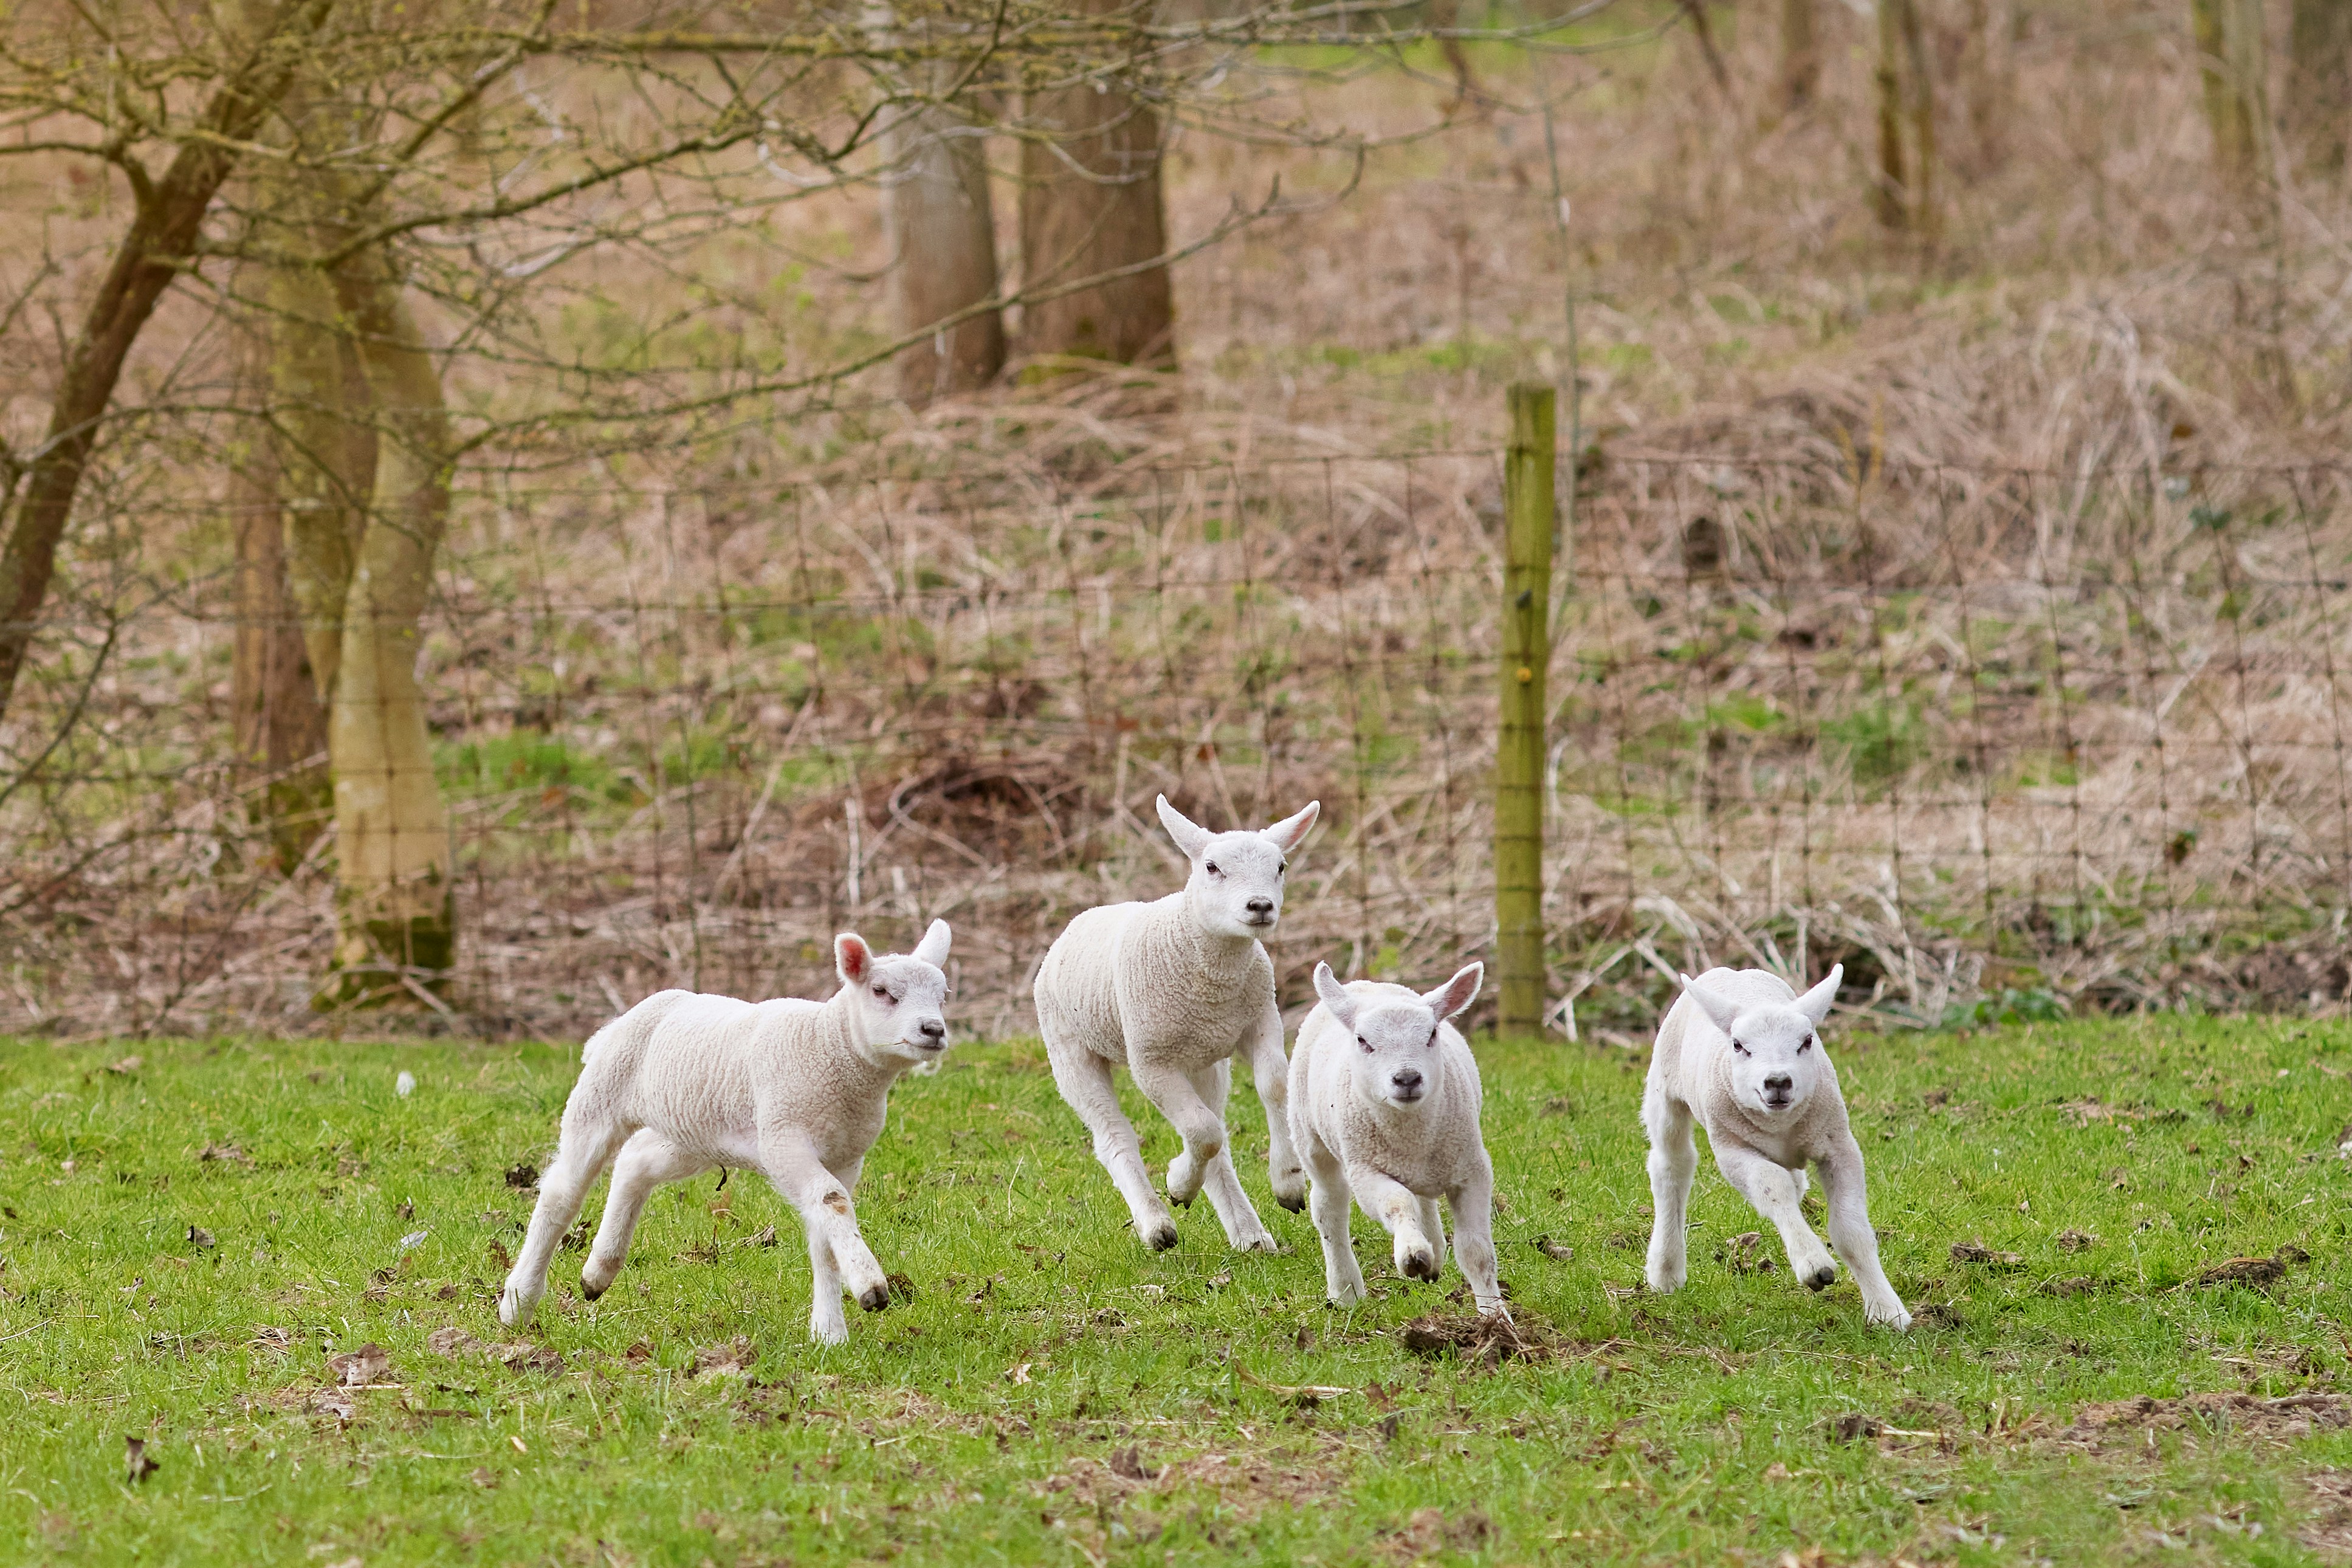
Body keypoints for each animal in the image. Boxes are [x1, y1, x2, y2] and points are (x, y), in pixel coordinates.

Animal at [498, 920, 955, 1345]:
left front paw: (830, 1332)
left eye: (943, 996)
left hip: (691, 1133)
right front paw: (870, 1287)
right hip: (600, 1097)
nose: (934, 1030)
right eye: (881, 991)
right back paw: (518, 1302)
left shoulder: (845, 1155)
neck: (830, 1049)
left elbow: (825, 1235)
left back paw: (598, 1272)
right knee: (561, 1195)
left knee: (636, 1161)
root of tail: (616, 1025)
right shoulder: (783, 1137)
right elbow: (833, 1202)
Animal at [1033, 796, 1319, 1253]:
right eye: (1212, 867)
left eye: (1280, 866)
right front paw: (1178, 1185)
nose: (1260, 906)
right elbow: (1202, 1131)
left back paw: (1250, 1235)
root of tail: (1080, 920)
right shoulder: (1151, 1060)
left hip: (1207, 1060)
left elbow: (1273, 1084)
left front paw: (1288, 1183)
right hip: (1069, 1048)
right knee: (1116, 1136)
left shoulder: (1260, 1021)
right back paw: (1157, 1224)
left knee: (1216, 1138)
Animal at [1288, 961, 1503, 1315]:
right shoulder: (1366, 1172)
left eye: (1432, 1035)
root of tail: (1364, 984)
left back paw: (1434, 1254)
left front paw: (1496, 1318)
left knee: (1423, 1199)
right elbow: (1397, 1203)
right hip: (1311, 1138)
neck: (1410, 1134)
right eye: (1363, 1040)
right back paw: (1345, 1290)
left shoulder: (1472, 1171)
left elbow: (1477, 1253)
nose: (1407, 1078)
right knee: (1329, 1206)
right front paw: (1413, 1254)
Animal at [1642, 965, 1911, 1330]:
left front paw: (1886, 1310)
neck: (1780, 1125)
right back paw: (1666, 1271)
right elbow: (1772, 1185)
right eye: (1738, 1045)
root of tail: (1731, 971)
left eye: (1807, 1041)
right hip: (1665, 1090)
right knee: (1672, 1166)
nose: (1778, 1081)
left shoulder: (1839, 1146)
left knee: (1794, 1182)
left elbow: (1851, 1231)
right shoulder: (1732, 1150)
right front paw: (1814, 1264)